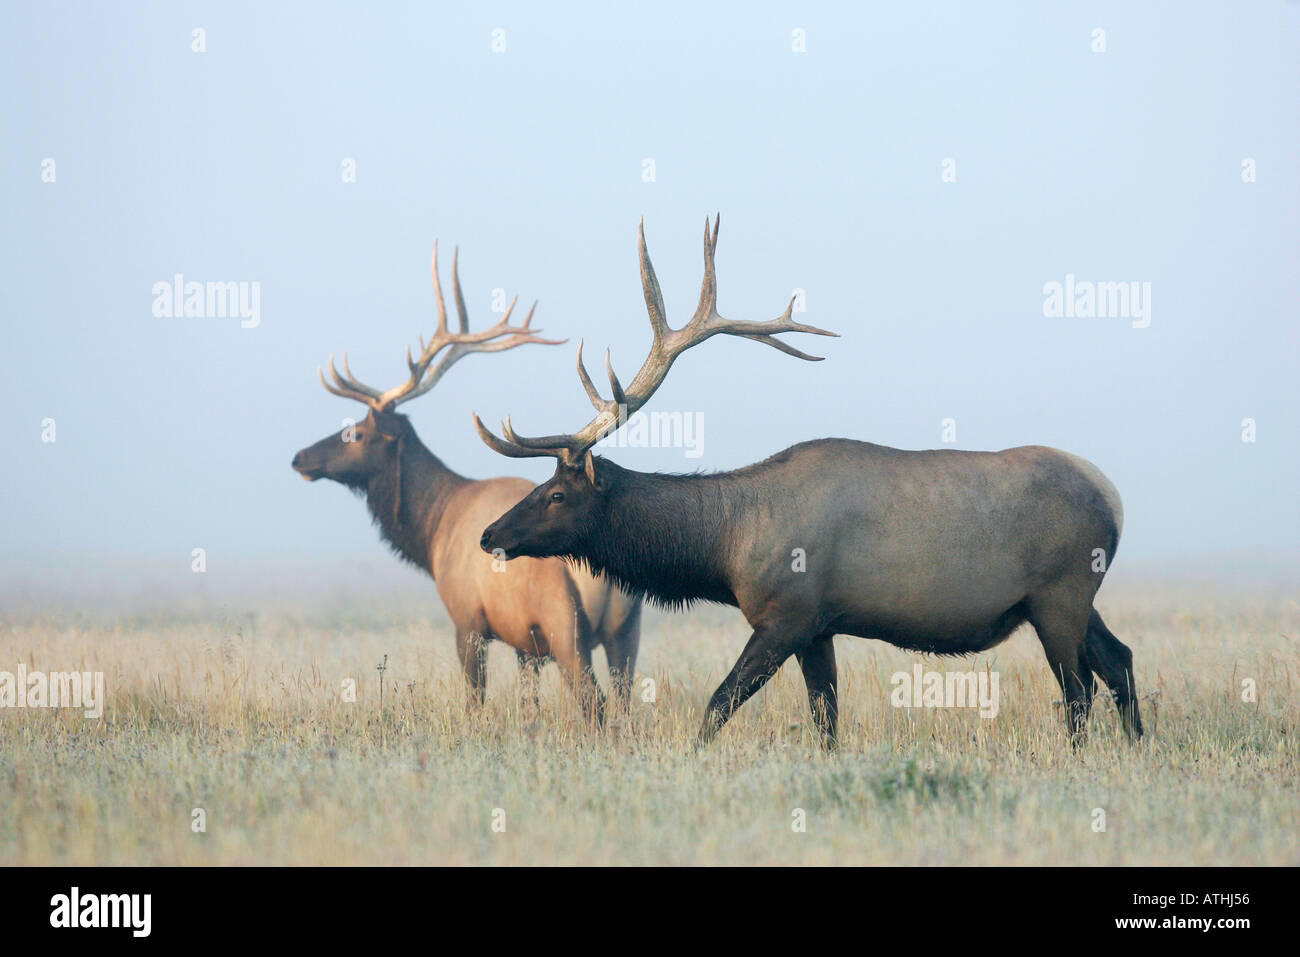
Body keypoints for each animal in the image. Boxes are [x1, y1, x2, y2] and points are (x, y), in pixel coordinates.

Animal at [291, 245, 642, 720]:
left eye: (357, 434)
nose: (300, 458)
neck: (433, 531)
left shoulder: (468, 620)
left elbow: (475, 697)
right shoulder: (526, 644)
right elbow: (528, 702)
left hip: (566, 626)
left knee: (593, 700)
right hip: (627, 628)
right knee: (624, 702)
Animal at [474, 216, 1143, 749]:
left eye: (556, 494)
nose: (489, 536)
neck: (723, 546)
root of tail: (1114, 498)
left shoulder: (787, 614)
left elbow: (719, 703)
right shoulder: (819, 627)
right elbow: (826, 718)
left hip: (1058, 594)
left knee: (1079, 691)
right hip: (1071, 598)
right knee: (1120, 660)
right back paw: (1138, 748)